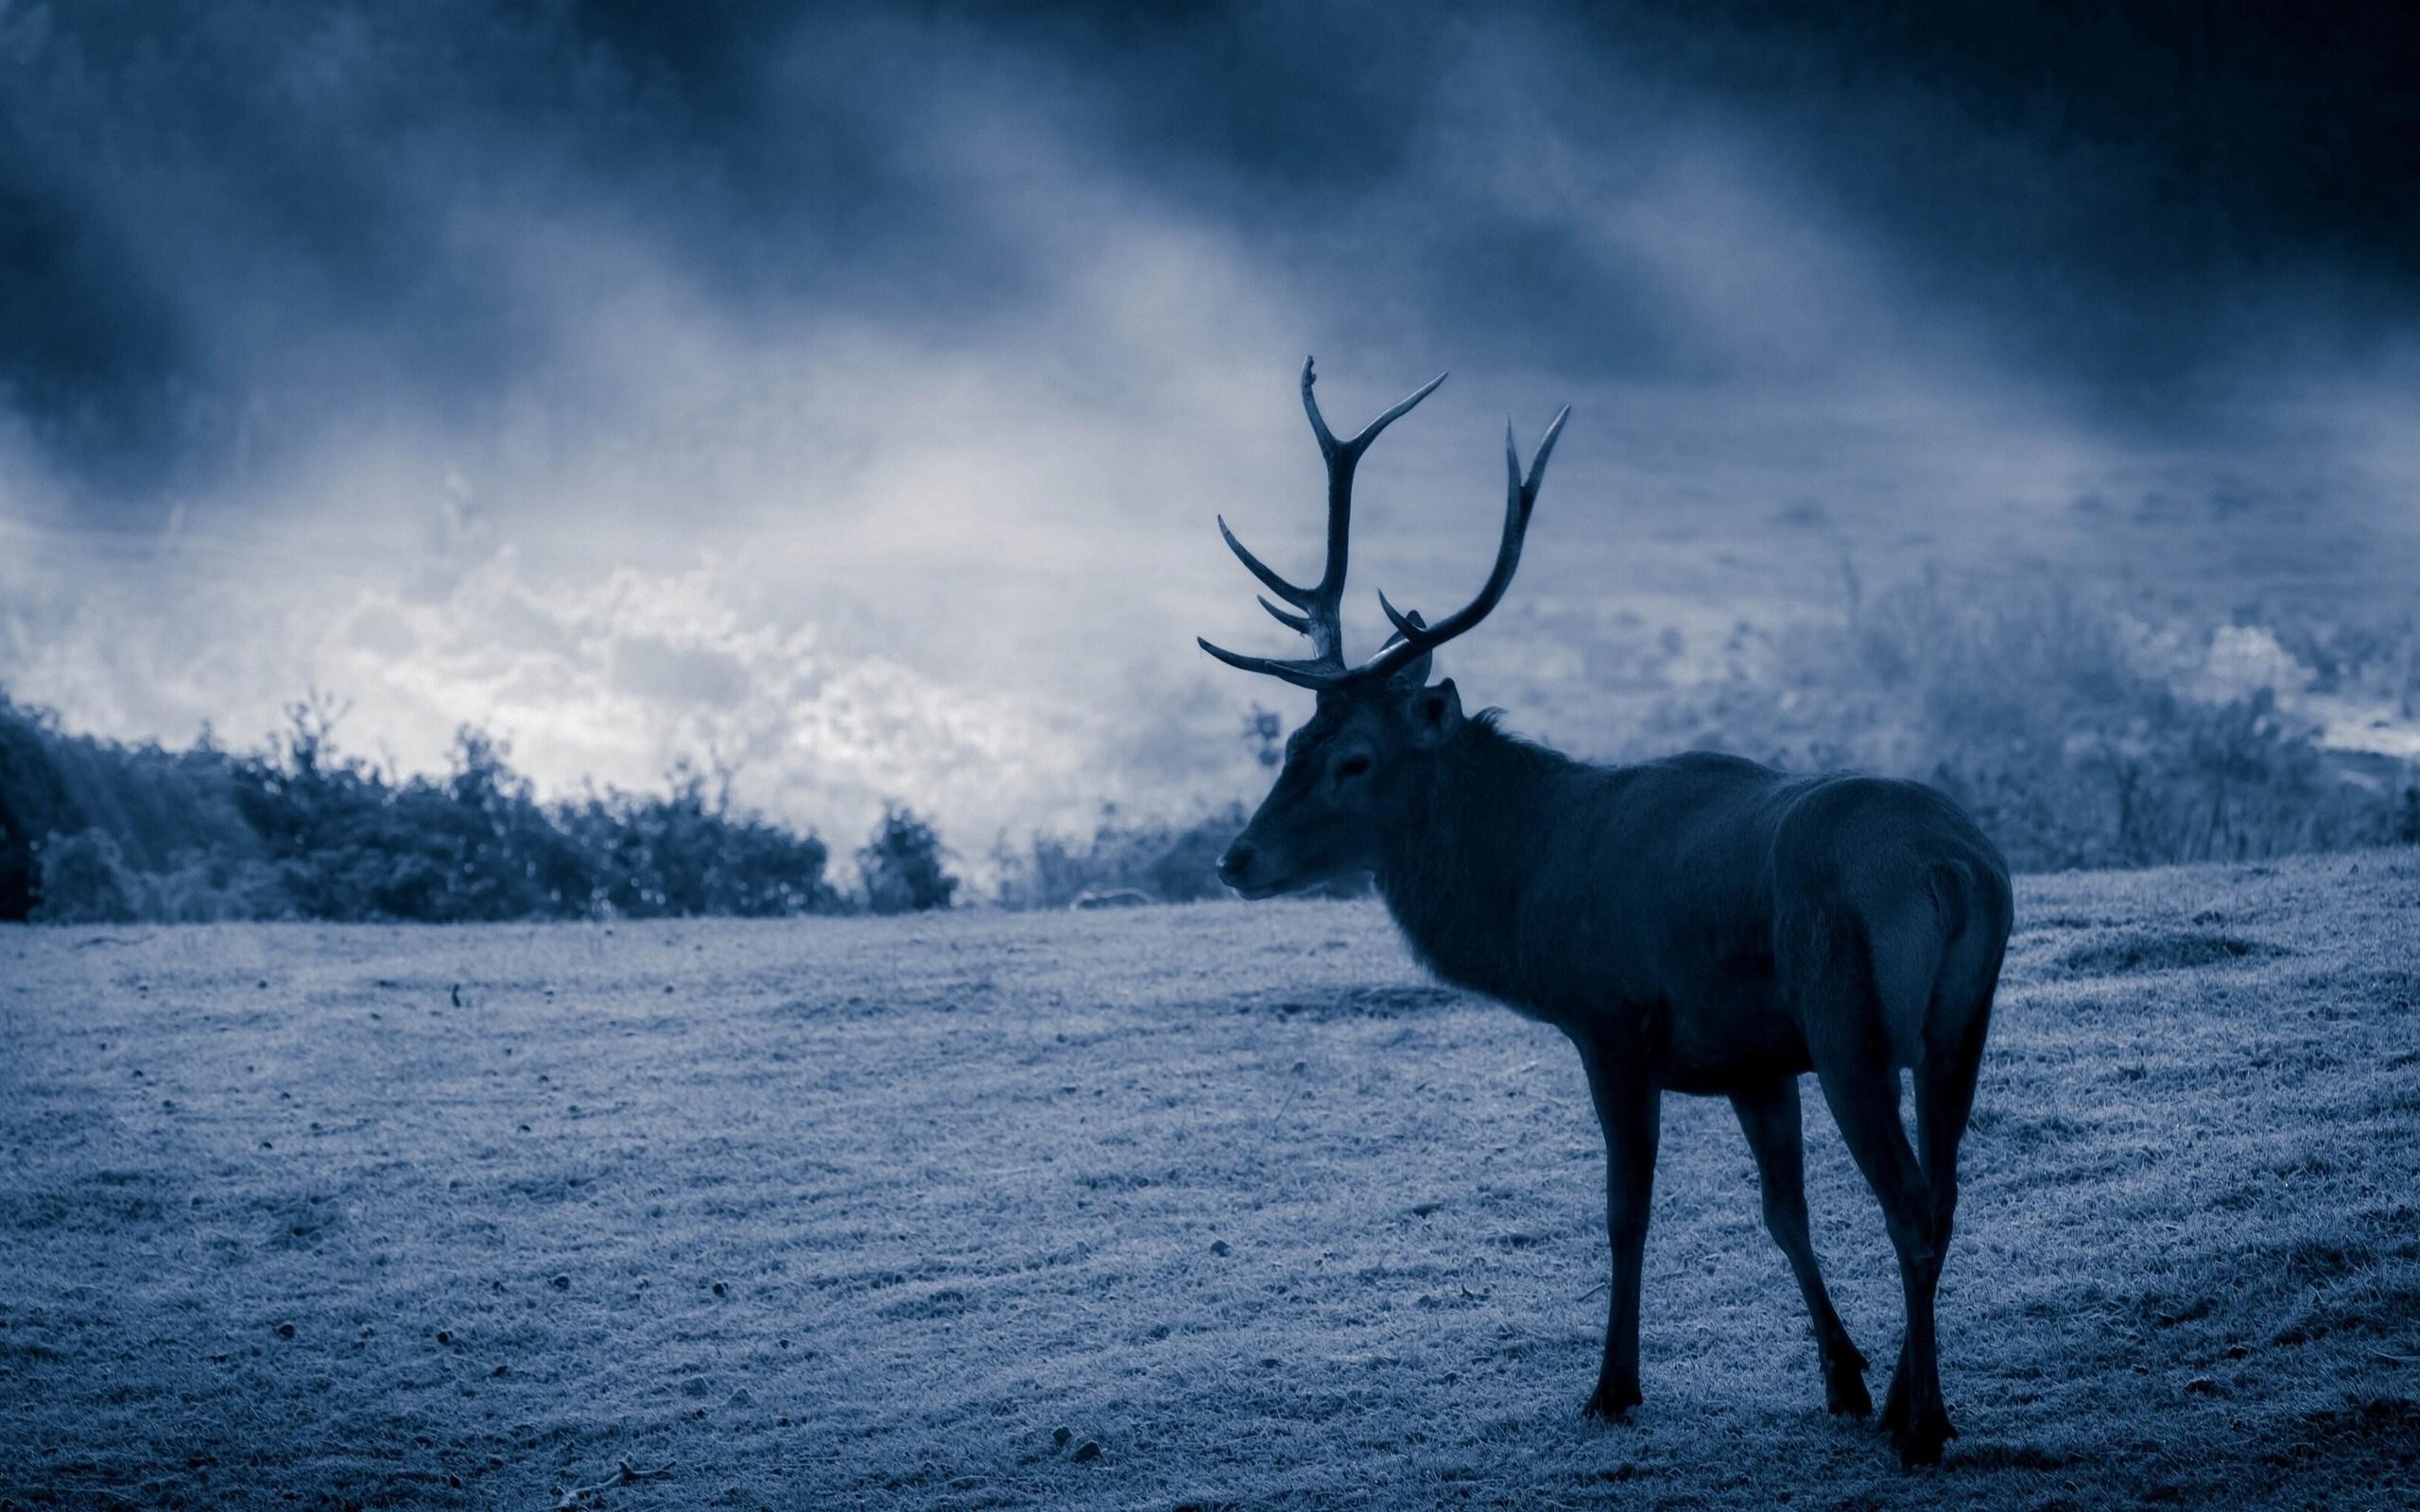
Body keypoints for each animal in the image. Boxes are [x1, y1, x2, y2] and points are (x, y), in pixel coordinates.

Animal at [1196, 359, 2013, 1467]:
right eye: (1291, 741)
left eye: (1353, 761)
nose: (1234, 859)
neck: (1527, 885)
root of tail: (1951, 869)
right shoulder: (1754, 1058)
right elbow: (1782, 1211)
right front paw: (1840, 1379)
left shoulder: (1613, 1021)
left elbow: (1627, 1209)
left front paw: (1614, 1385)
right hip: (1957, 1024)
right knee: (1946, 1190)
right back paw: (1903, 1399)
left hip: (1849, 1018)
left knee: (1914, 1204)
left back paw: (1924, 1422)